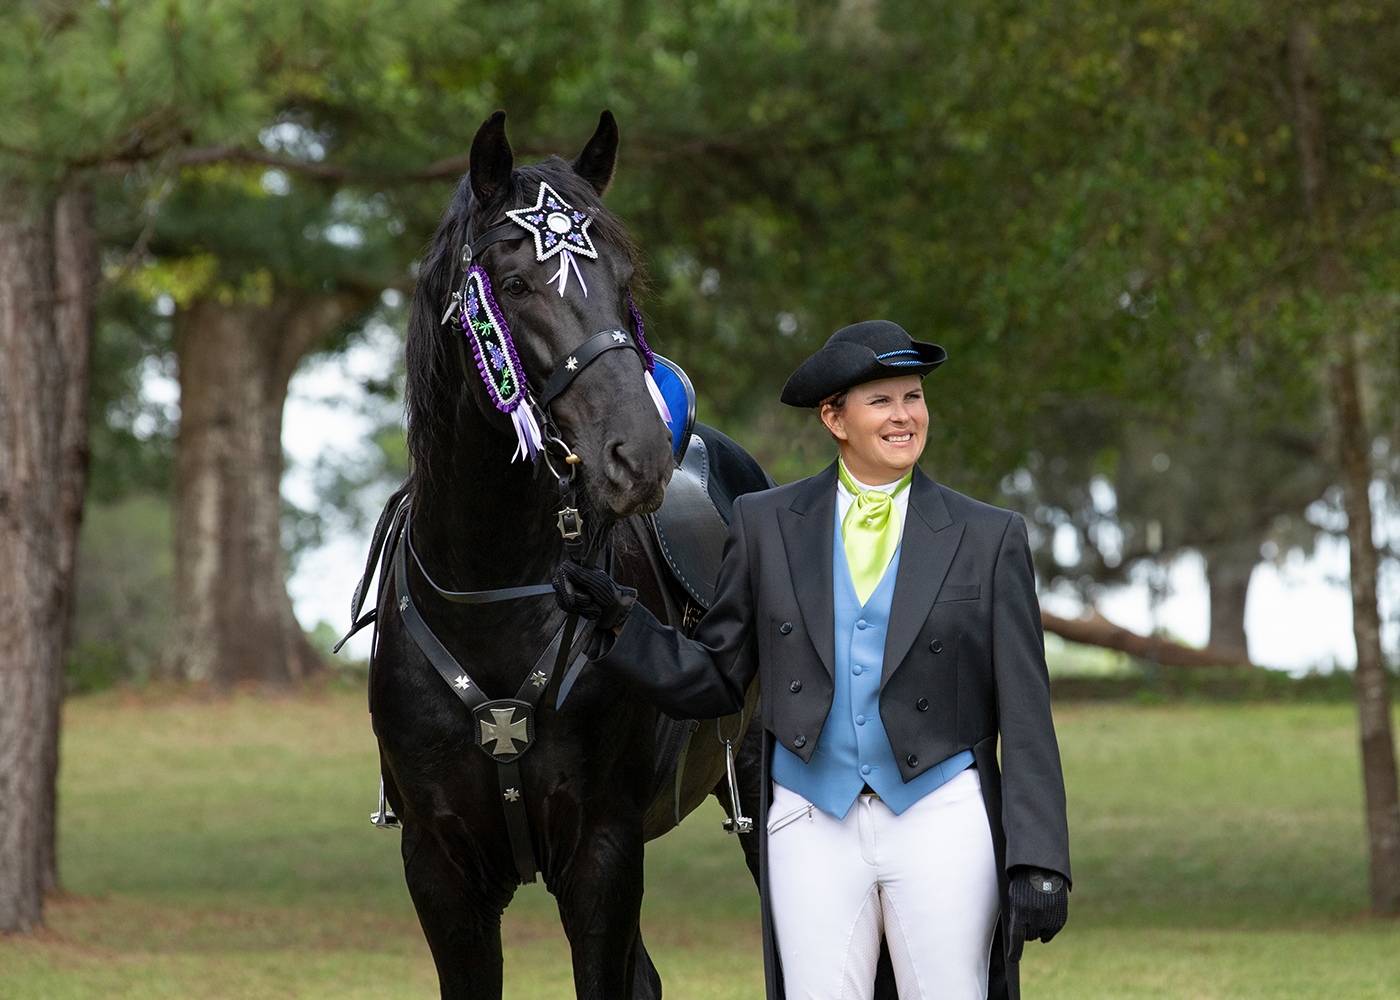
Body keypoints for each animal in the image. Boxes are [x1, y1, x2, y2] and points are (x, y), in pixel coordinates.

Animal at [358, 110, 768, 999]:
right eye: (514, 287)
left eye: (625, 281)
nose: (639, 456)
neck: (489, 602)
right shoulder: (441, 871)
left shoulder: (601, 854)